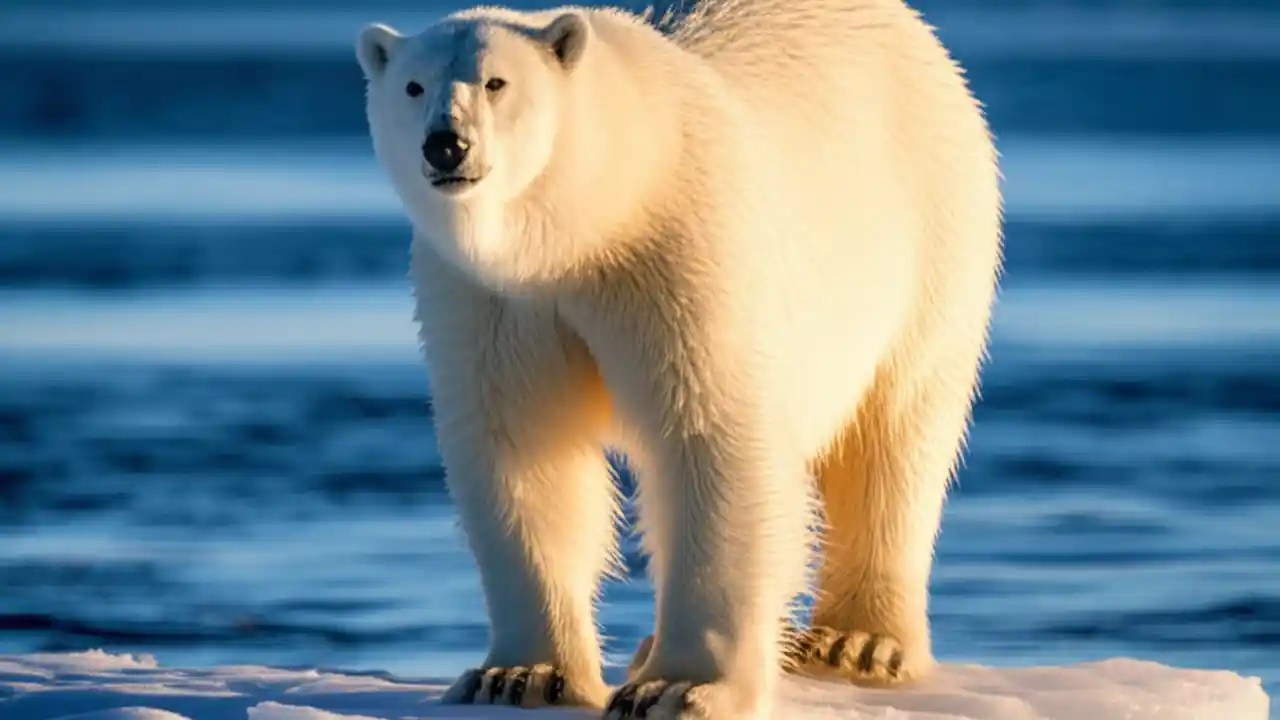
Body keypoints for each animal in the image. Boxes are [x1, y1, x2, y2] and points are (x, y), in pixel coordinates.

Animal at [355, 0, 1000, 717]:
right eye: (413, 87)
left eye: (496, 82)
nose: (446, 144)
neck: (597, 215)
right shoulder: (491, 298)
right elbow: (520, 451)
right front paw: (519, 677)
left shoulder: (681, 251)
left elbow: (709, 436)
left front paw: (679, 685)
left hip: (930, 237)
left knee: (896, 434)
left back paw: (858, 643)